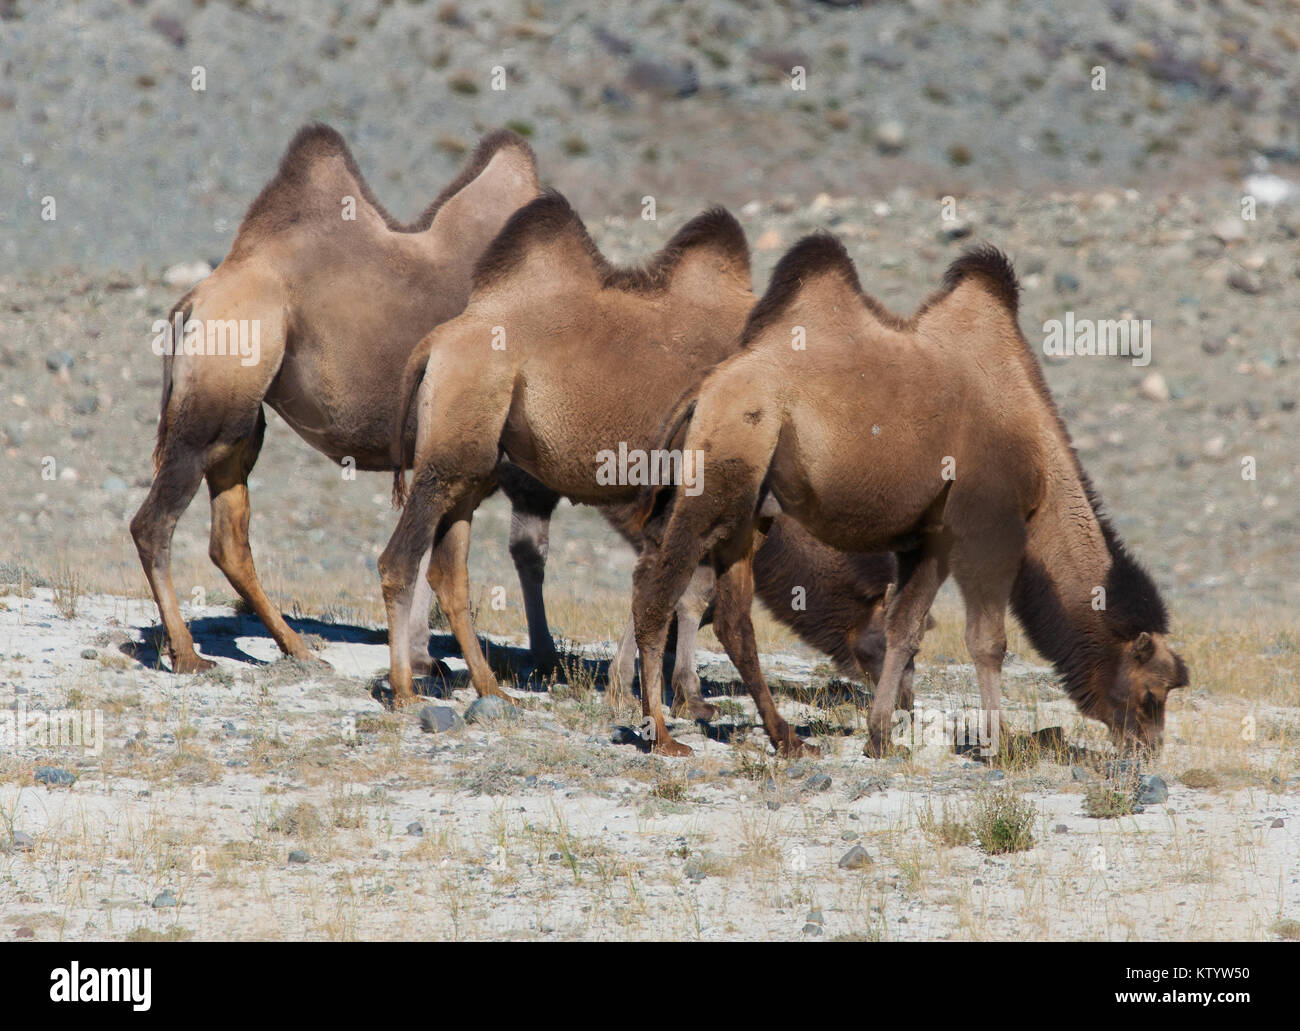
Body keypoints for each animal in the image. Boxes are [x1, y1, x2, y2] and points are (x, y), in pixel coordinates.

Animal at [130, 123, 548, 675]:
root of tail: (196, 298)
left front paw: (423, 661)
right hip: (216, 395)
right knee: (154, 523)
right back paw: (187, 654)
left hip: (243, 420)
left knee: (228, 538)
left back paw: (297, 647)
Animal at [630, 237, 1188, 758]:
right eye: (1152, 693)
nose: (1149, 750)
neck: (1039, 463)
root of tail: (702, 393)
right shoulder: (987, 530)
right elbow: (988, 641)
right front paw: (998, 743)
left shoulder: (932, 538)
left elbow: (906, 628)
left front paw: (879, 736)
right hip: (717, 479)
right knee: (658, 595)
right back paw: (663, 734)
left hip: (752, 512)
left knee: (729, 617)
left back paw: (786, 738)